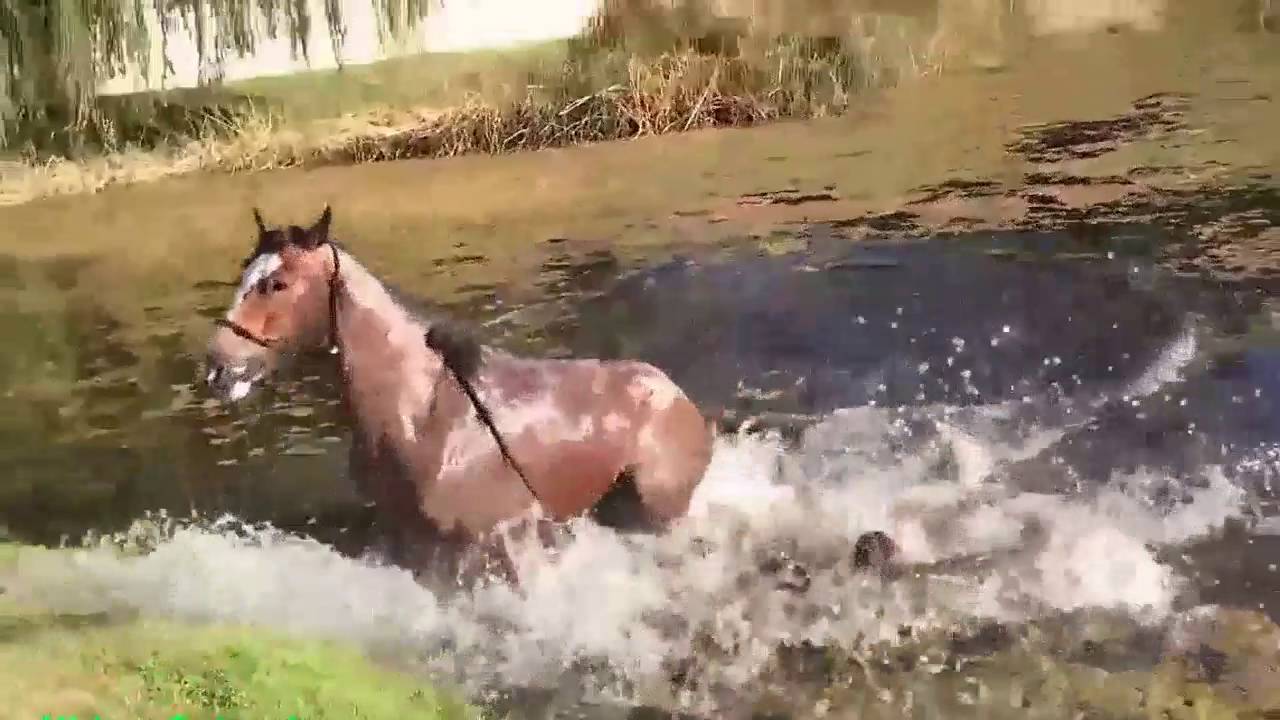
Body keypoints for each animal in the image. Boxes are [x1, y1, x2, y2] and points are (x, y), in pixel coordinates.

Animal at [203, 205, 717, 588]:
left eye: (277, 283)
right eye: (245, 274)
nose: (217, 368)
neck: (422, 415)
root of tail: (676, 395)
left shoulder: (499, 543)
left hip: (658, 510)